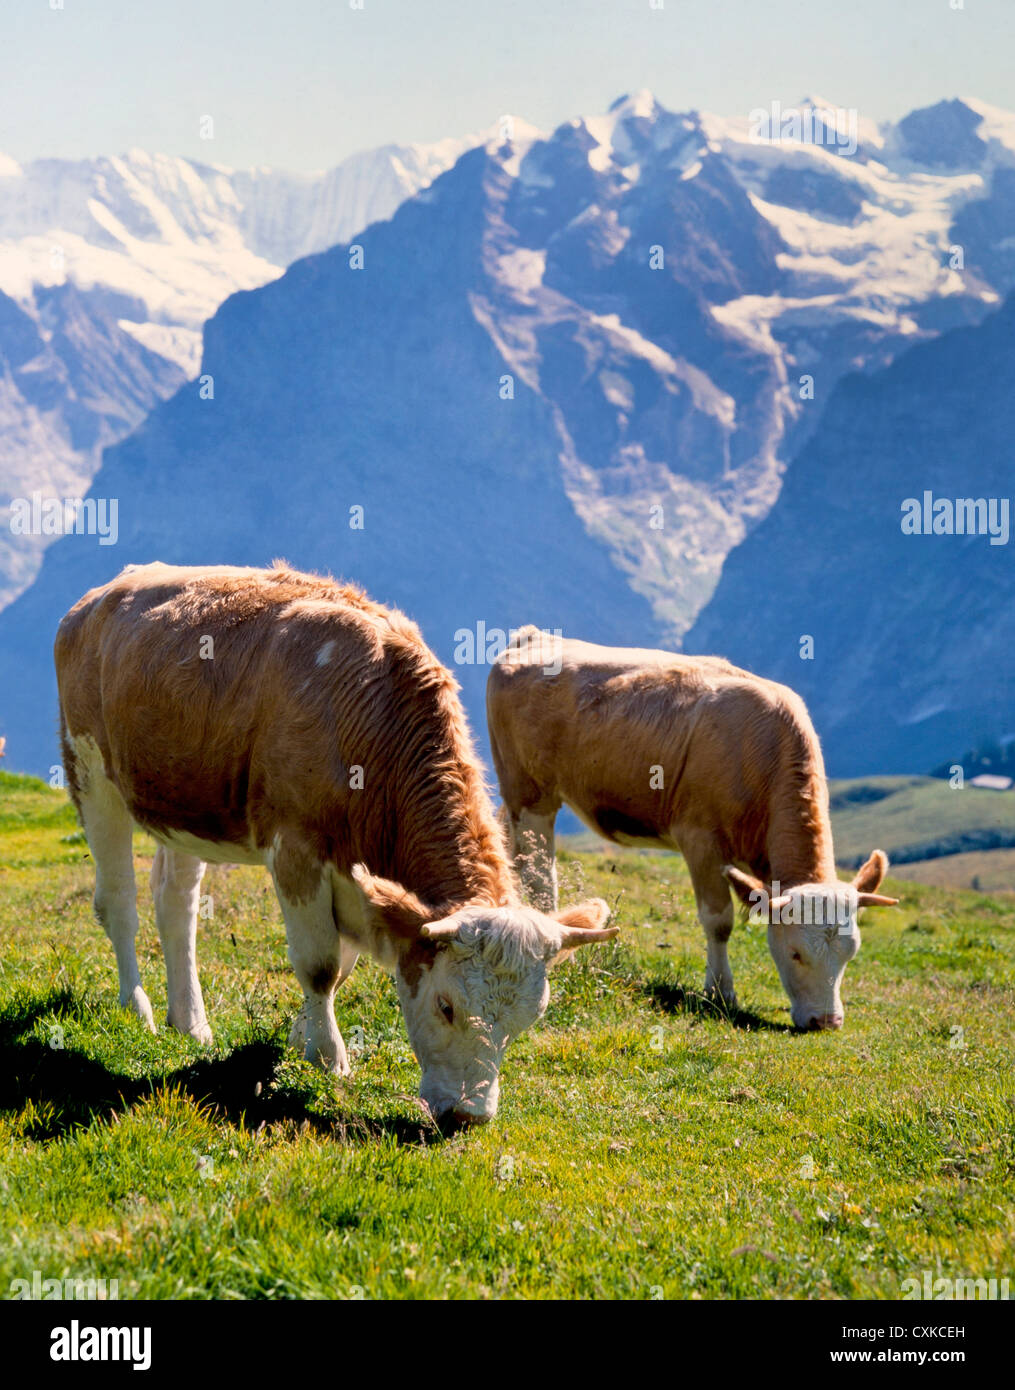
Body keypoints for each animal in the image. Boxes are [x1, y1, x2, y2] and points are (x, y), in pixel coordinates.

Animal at [55, 558, 611, 1123]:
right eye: (446, 1005)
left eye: (528, 1019)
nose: (469, 1115)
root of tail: (110, 589)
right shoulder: (296, 848)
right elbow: (318, 965)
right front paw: (327, 1058)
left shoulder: (359, 882)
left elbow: (340, 968)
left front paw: (300, 1037)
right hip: (90, 770)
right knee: (119, 902)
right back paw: (137, 1008)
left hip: (186, 804)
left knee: (176, 904)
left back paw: (190, 1022)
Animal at [486, 631, 895, 1034]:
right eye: (796, 953)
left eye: (851, 951)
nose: (826, 1021)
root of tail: (532, 636)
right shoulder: (700, 838)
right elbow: (719, 920)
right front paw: (720, 992)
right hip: (530, 793)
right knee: (540, 874)